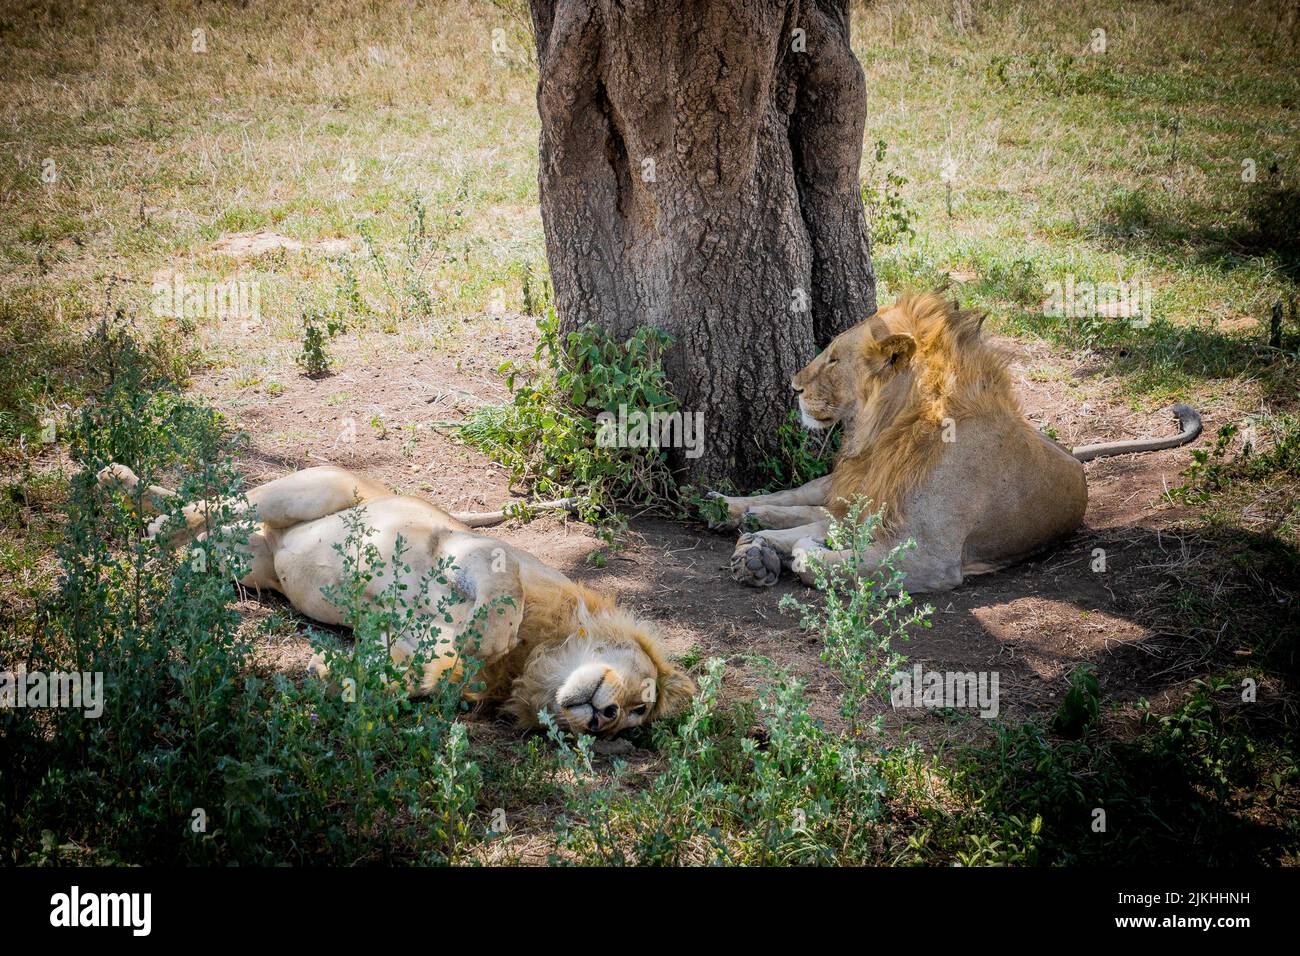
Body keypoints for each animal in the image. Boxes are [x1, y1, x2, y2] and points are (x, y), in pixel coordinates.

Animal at [96, 463, 694, 736]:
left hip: (232, 558)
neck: (534, 659)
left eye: (634, 718)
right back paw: (129, 494)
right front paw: (485, 638)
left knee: (205, 526)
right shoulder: (478, 551)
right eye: (640, 699)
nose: (604, 715)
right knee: (213, 500)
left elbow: (405, 673)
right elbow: (504, 602)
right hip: (322, 486)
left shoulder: (411, 646)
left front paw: (330, 672)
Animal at [712, 293, 1202, 593]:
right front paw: (759, 544)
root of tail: (1067, 450)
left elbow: (823, 553)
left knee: (820, 512)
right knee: (803, 496)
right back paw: (731, 510)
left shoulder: (930, 558)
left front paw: (781, 551)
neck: (893, 430)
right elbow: (817, 523)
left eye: (833, 358)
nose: (792, 386)